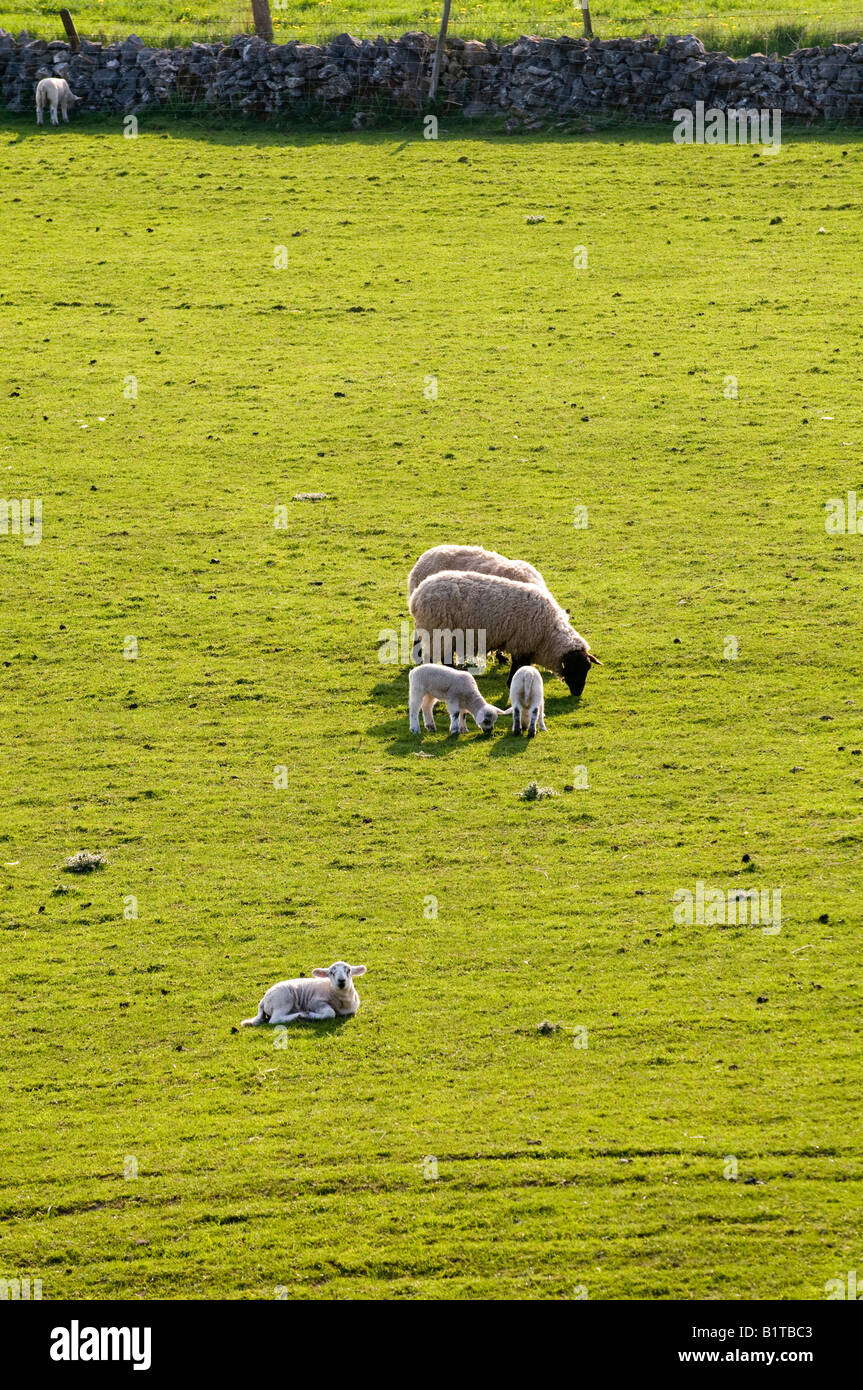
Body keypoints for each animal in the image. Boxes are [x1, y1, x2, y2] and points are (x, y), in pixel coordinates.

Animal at [409, 570, 601, 697]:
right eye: (574, 668)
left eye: (587, 668)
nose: (578, 693)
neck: (548, 634)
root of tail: (417, 595)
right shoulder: (522, 644)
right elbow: (517, 668)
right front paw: (511, 685)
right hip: (436, 631)